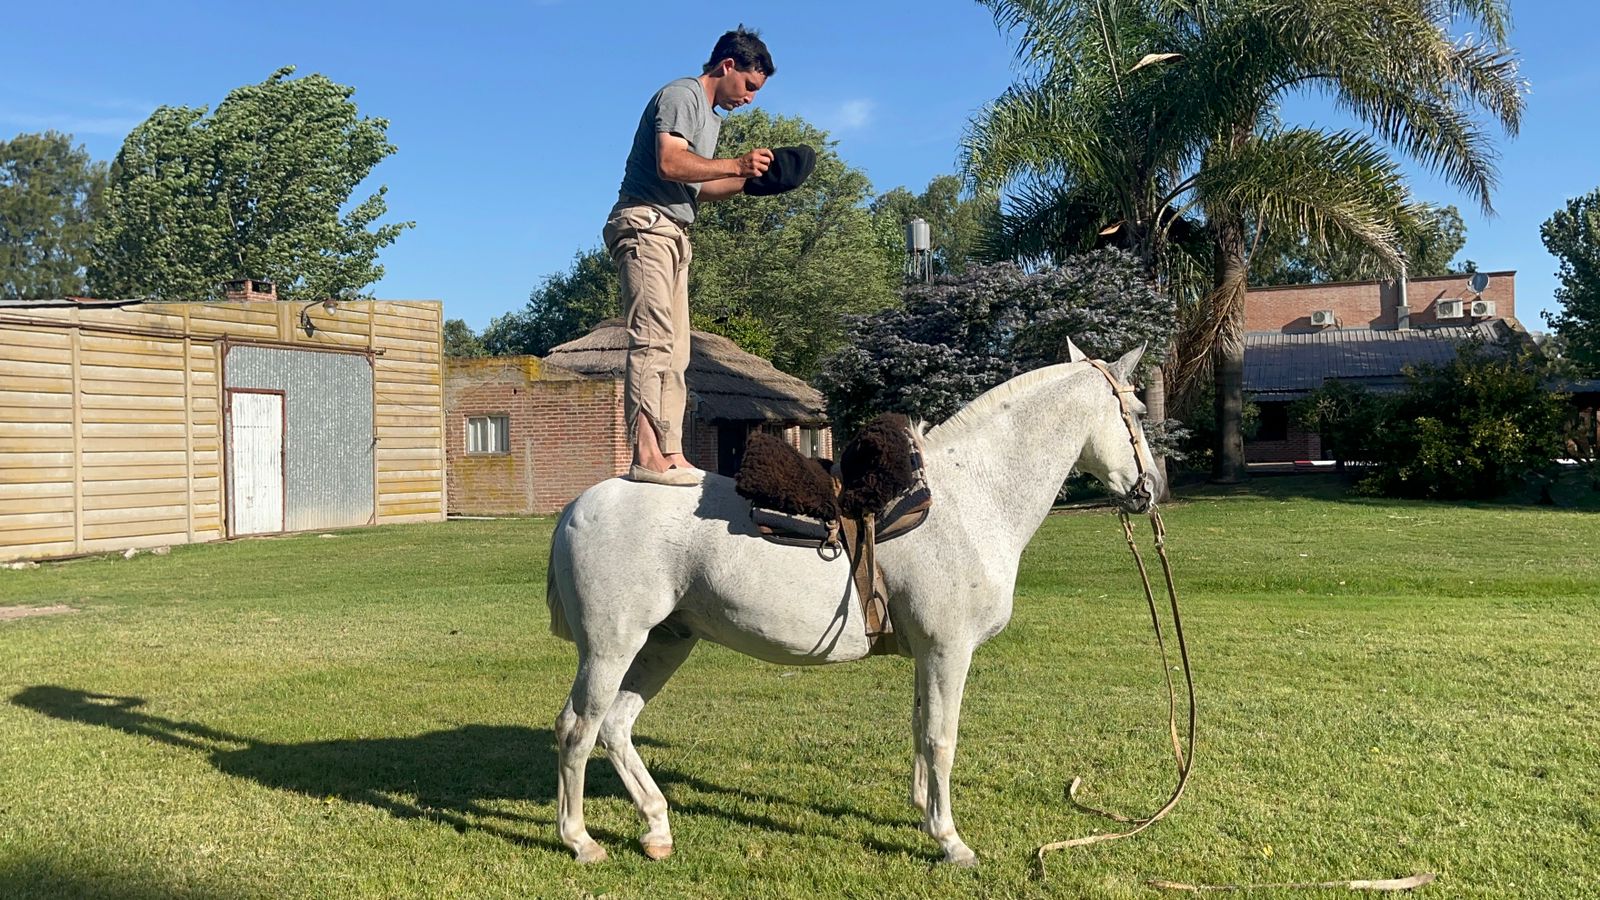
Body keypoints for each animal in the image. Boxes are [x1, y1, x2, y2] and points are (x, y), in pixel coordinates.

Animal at [545, 341, 1160, 866]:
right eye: (1134, 409)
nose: (1150, 488)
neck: (971, 499)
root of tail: (580, 505)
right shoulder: (948, 650)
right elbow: (941, 738)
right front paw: (950, 841)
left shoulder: (927, 654)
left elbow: (919, 729)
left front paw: (923, 813)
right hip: (612, 647)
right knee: (577, 728)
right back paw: (580, 841)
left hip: (666, 642)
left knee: (616, 726)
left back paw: (656, 827)